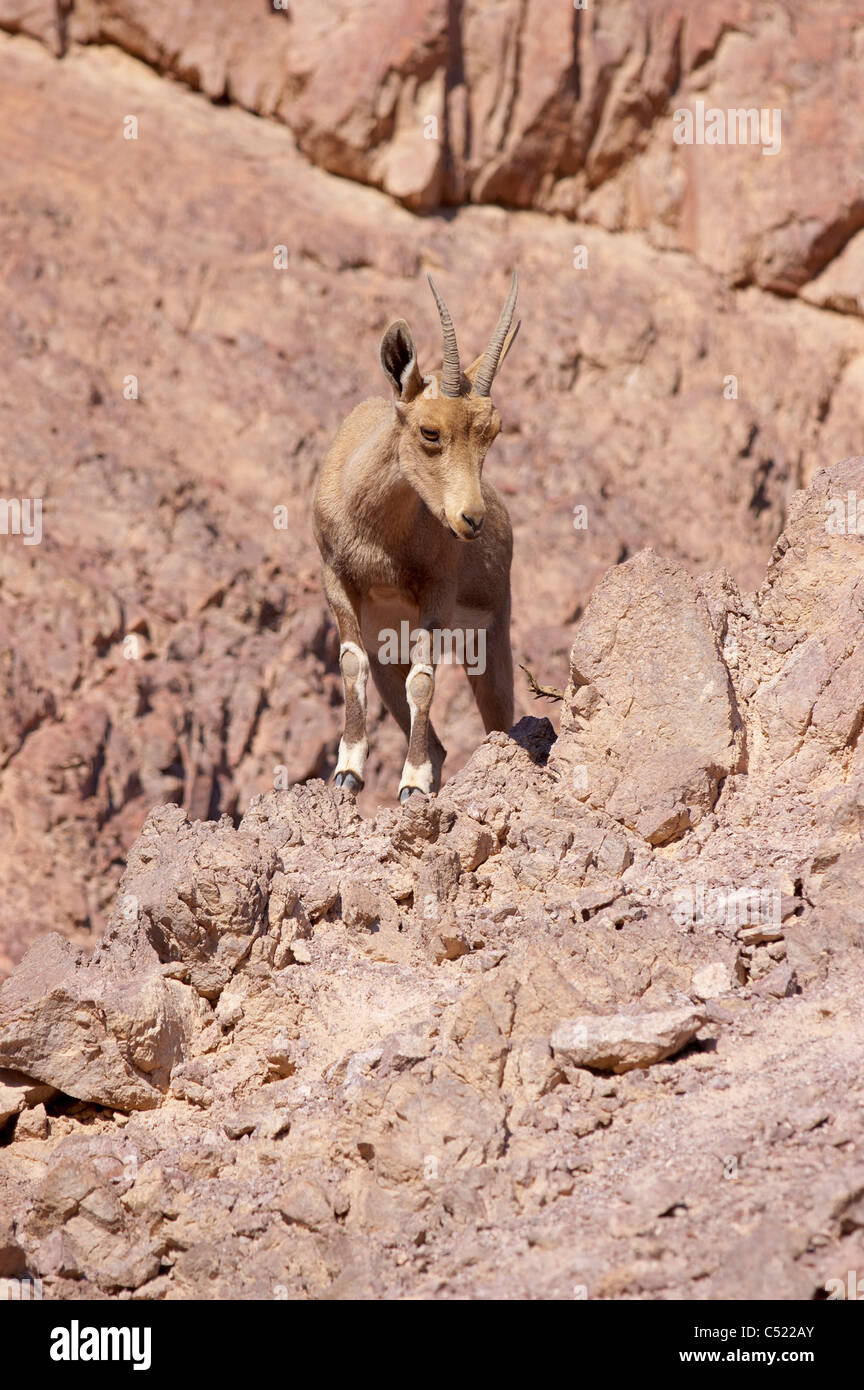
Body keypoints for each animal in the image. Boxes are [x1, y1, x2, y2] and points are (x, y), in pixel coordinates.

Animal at [313, 272, 519, 801]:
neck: (379, 535)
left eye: (492, 431)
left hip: (489, 639)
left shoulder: (437, 594)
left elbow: (424, 684)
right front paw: (347, 773)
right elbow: (351, 666)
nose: (471, 520)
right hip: (391, 646)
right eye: (430, 431)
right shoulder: (337, 579)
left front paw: (412, 782)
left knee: (499, 719)